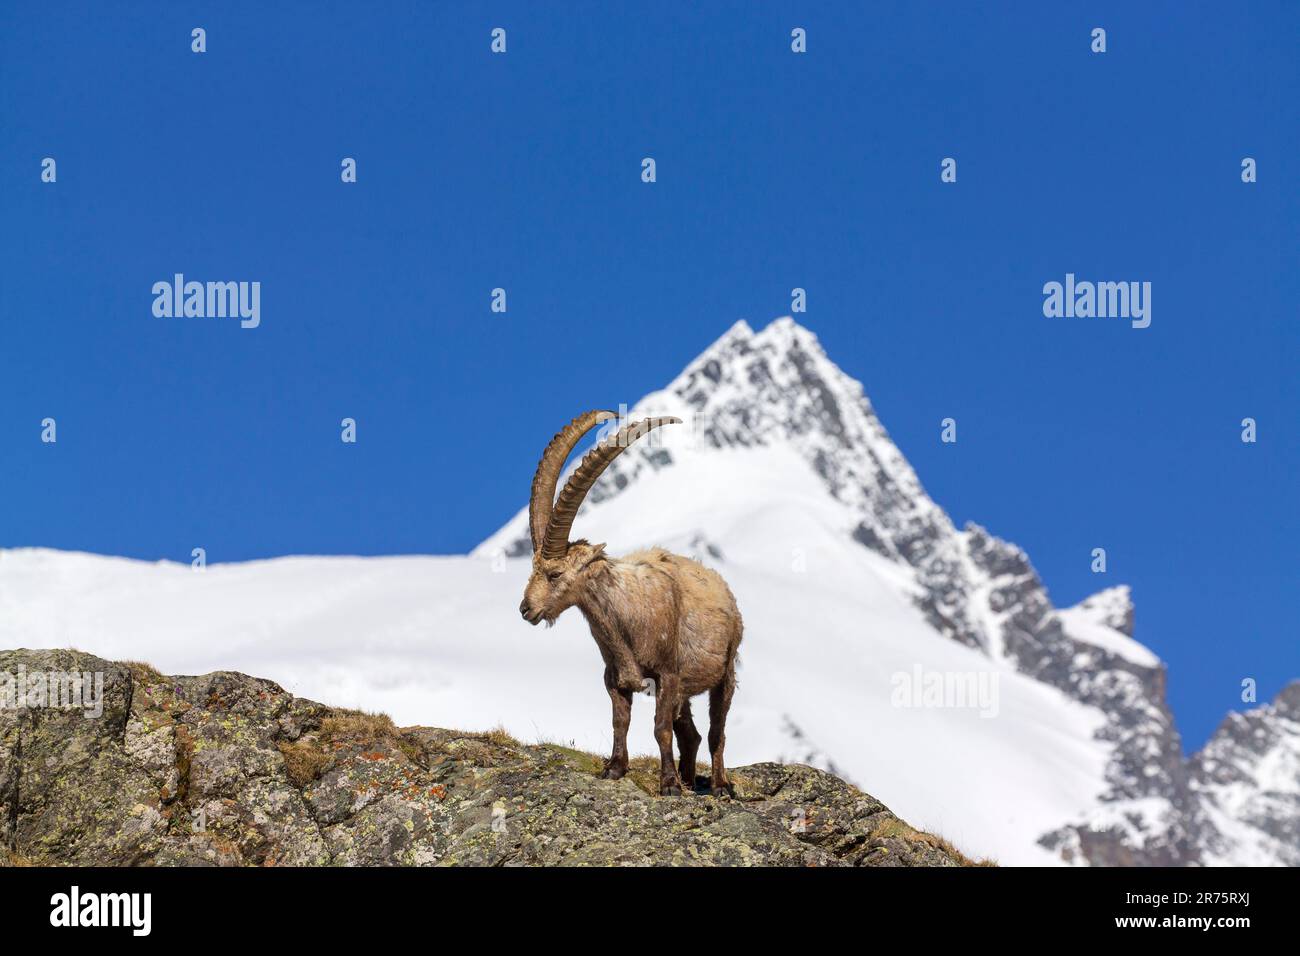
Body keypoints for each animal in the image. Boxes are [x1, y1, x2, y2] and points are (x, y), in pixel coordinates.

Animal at [518, 411, 743, 797]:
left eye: (554, 574)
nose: (525, 609)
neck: (624, 619)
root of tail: (724, 589)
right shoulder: (615, 678)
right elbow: (619, 721)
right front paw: (614, 769)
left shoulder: (667, 675)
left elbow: (659, 727)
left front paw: (668, 786)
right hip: (686, 692)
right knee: (692, 735)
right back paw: (688, 779)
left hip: (725, 671)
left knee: (716, 733)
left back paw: (718, 786)